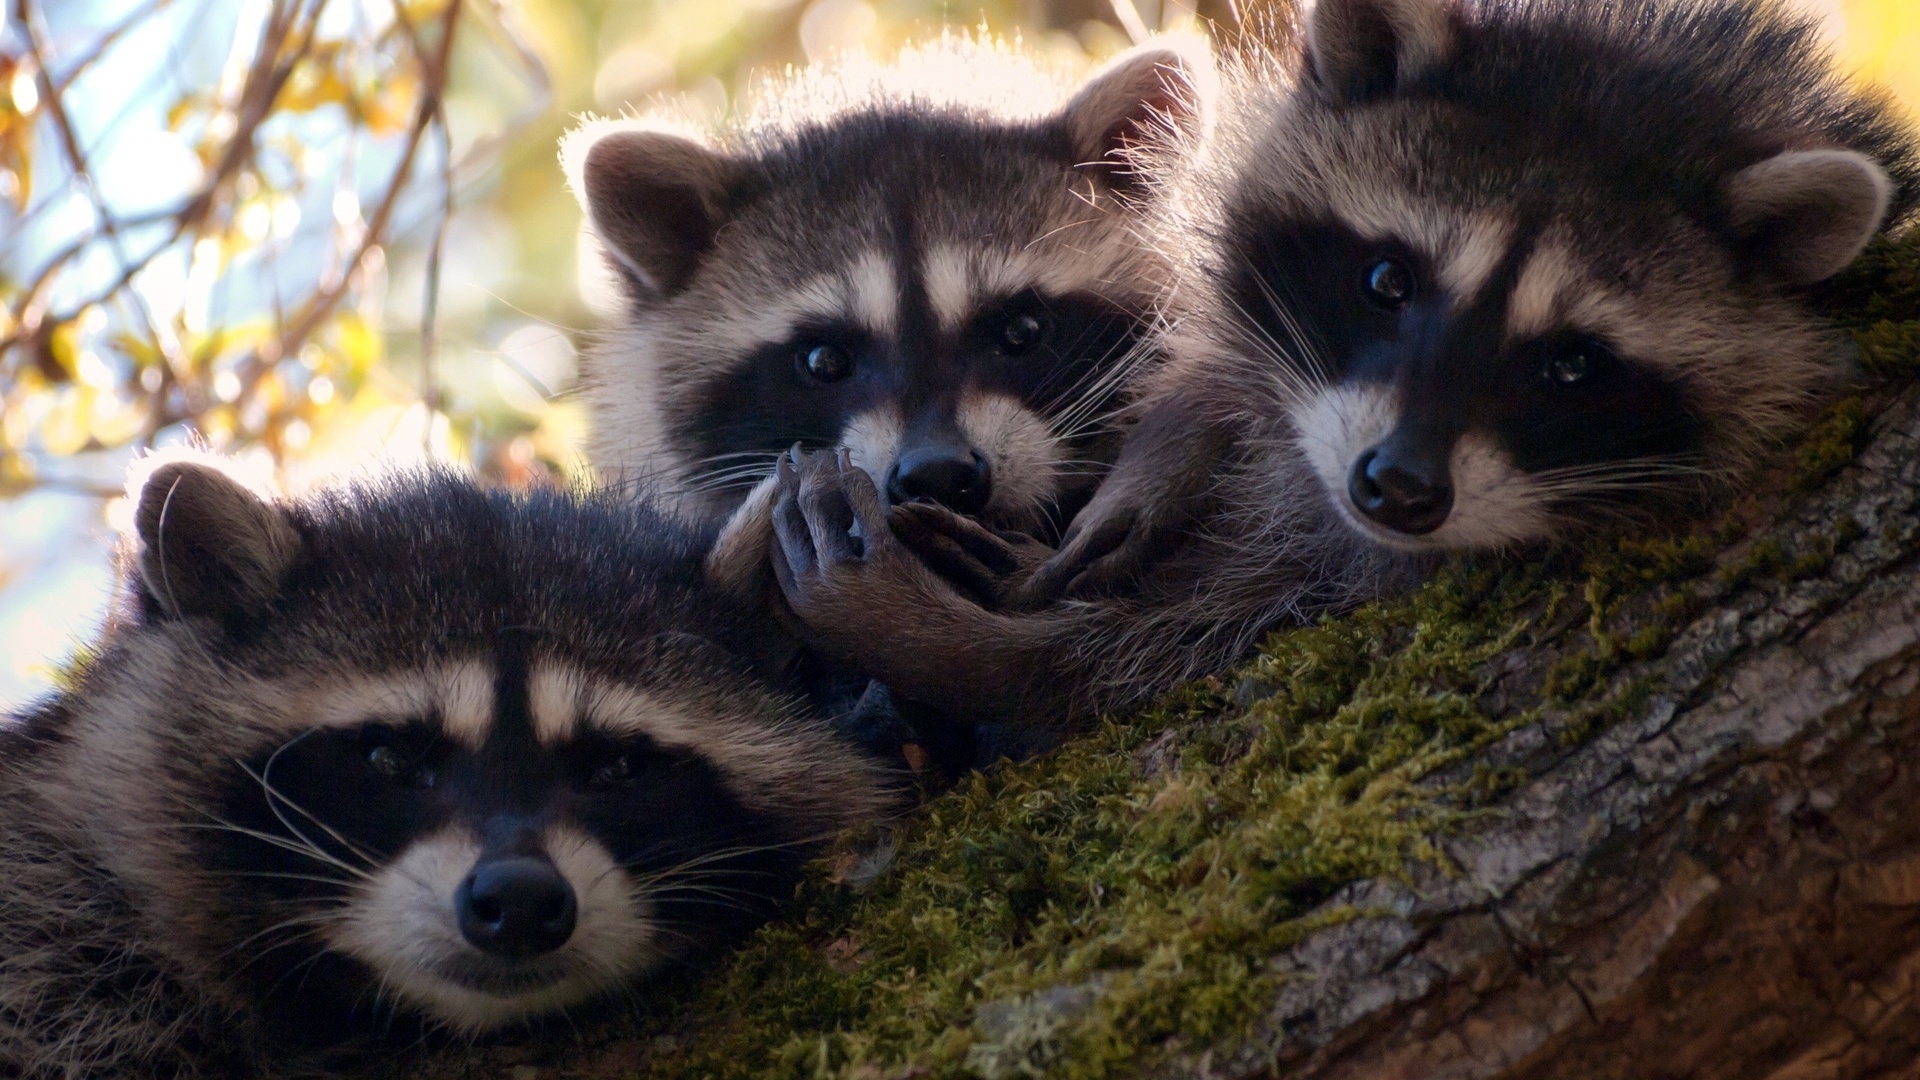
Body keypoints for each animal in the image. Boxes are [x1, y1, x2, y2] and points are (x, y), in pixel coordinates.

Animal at [758, 0, 1919, 734]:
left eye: (1573, 365)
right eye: (1386, 280)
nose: (1397, 488)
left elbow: (1156, 656)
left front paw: (964, 649)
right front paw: (1173, 442)